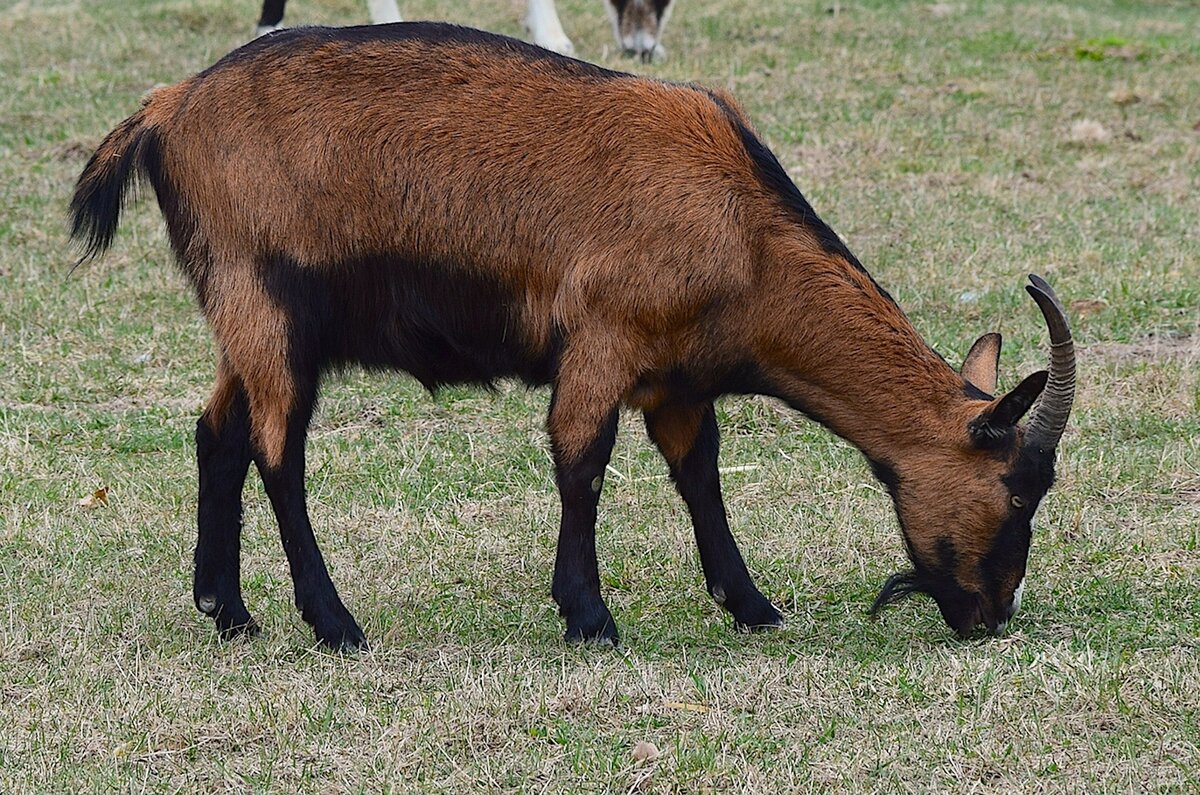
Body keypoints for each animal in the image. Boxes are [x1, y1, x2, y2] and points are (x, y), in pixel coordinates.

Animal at [68, 23, 1080, 653]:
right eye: (1017, 489)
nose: (990, 613)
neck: (743, 227)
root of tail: (165, 109)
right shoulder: (603, 339)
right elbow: (581, 460)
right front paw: (589, 615)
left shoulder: (677, 379)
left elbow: (699, 476)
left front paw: (751, 603)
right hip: (270, 305)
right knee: (279, 451)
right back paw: (334, 622)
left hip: (245, 320)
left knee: (218, 432)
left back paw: (227, 610)